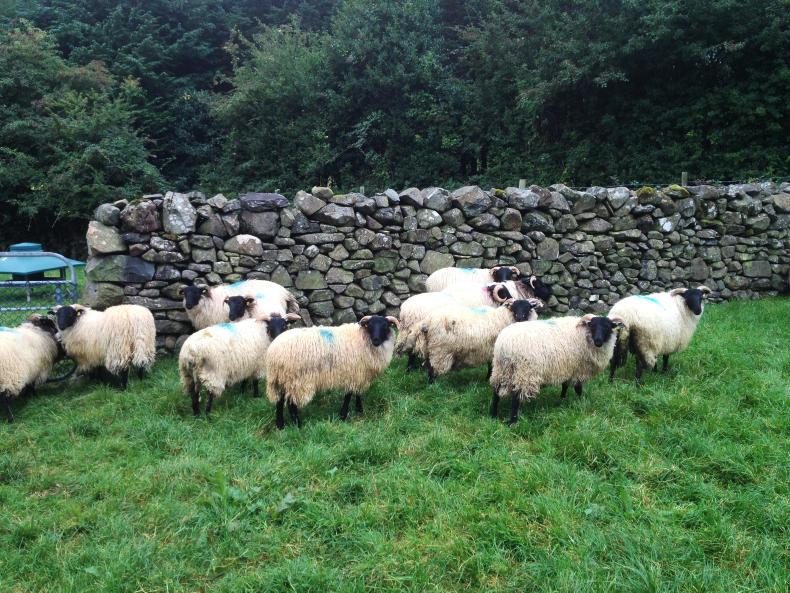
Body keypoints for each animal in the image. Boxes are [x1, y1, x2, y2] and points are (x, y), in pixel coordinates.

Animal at [266, 315, 399, 429]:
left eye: (385, 326)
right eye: (370, 325)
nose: (376, 340)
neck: (363, 339)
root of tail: (274, 352)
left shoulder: (360, 373)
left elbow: (358, 393)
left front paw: (359, 410)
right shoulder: (353, 373)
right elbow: (349, 395)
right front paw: (343, 415)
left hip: (280, 378)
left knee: (279, 401)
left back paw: (280, 425)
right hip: (297, 380)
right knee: (291, 403)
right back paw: (298, 425)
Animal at [413, 298, 543, 383]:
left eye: (528, 308)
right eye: (514, 308)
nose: (520, 317)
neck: (504, 318)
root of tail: (427, 321)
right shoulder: (493, 349)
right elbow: (491, 366)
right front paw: (488, 379)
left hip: (429, 348)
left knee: (429, 366)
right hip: (439, 350)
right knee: (432, 368)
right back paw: (433, 384)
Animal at [490, 314, 626, 425]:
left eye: (608, 327)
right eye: (592, 326)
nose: (598, 341)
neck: (585, 335)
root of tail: (504, 345)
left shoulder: (568, 368)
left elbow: (565, 385)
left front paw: (562, 398)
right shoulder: (578, 369)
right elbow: (578, 388)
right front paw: (580, 402)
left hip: (501, 369)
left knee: (496, 391)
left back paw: (493, 414)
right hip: (524, 371)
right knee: (515, 397)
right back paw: (513, 421)